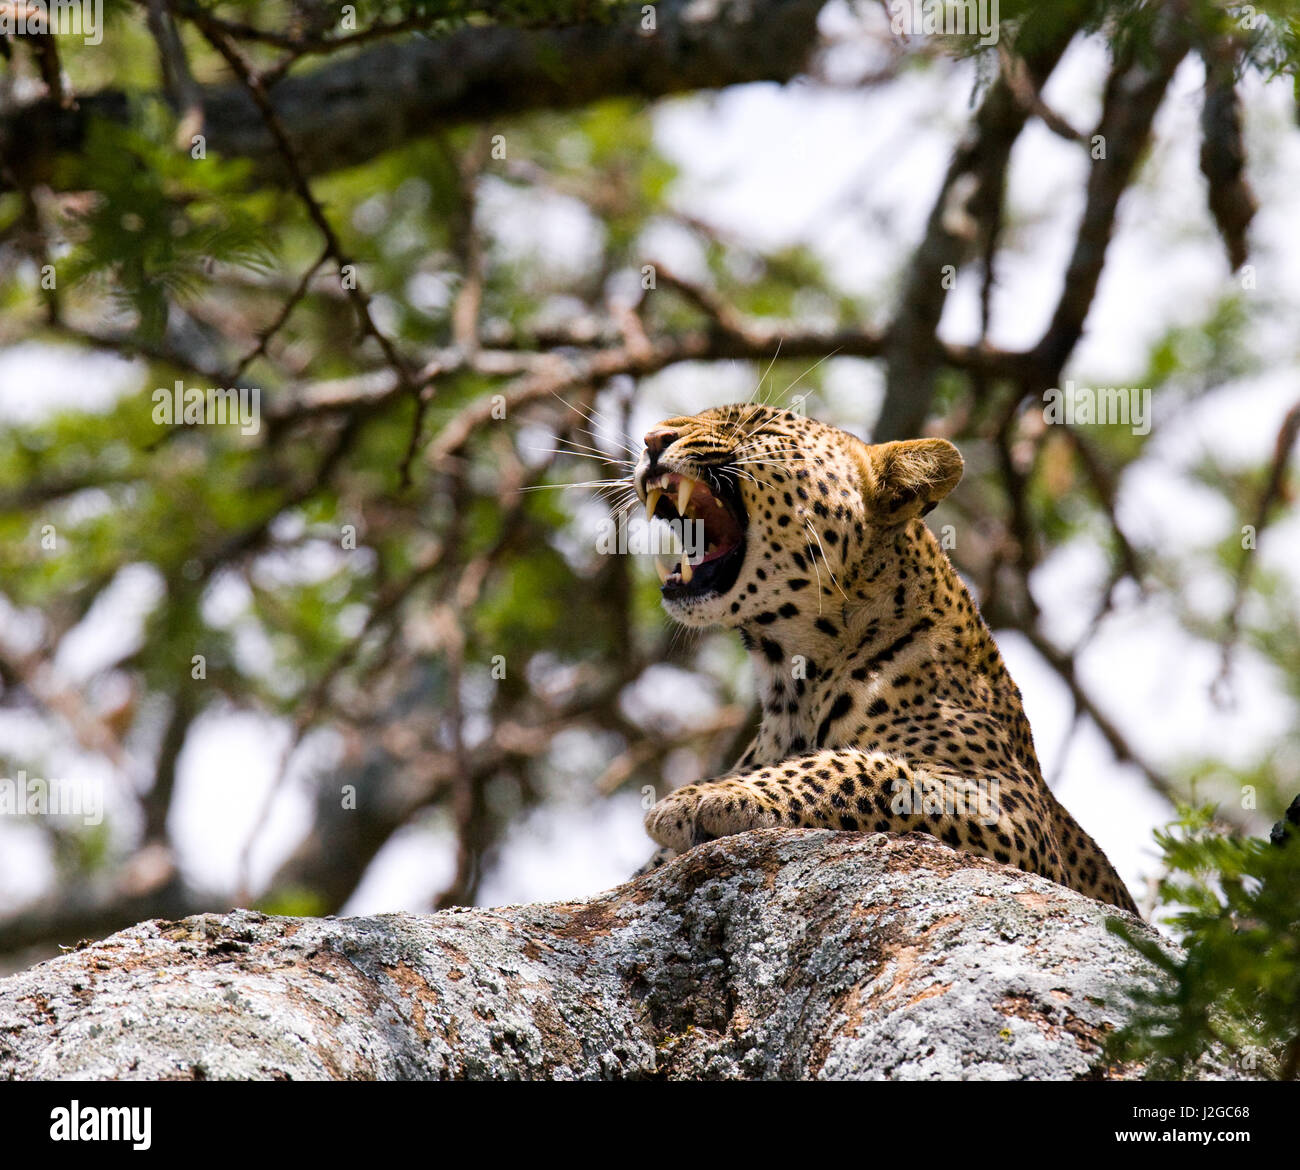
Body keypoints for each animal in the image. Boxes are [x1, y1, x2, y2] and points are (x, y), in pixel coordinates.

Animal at [629, 402, 1139, 915]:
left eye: (755, 425)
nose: (652, 439)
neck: (791, 683)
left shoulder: (1013, 810)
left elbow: (865, 769)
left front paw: (713, 793)